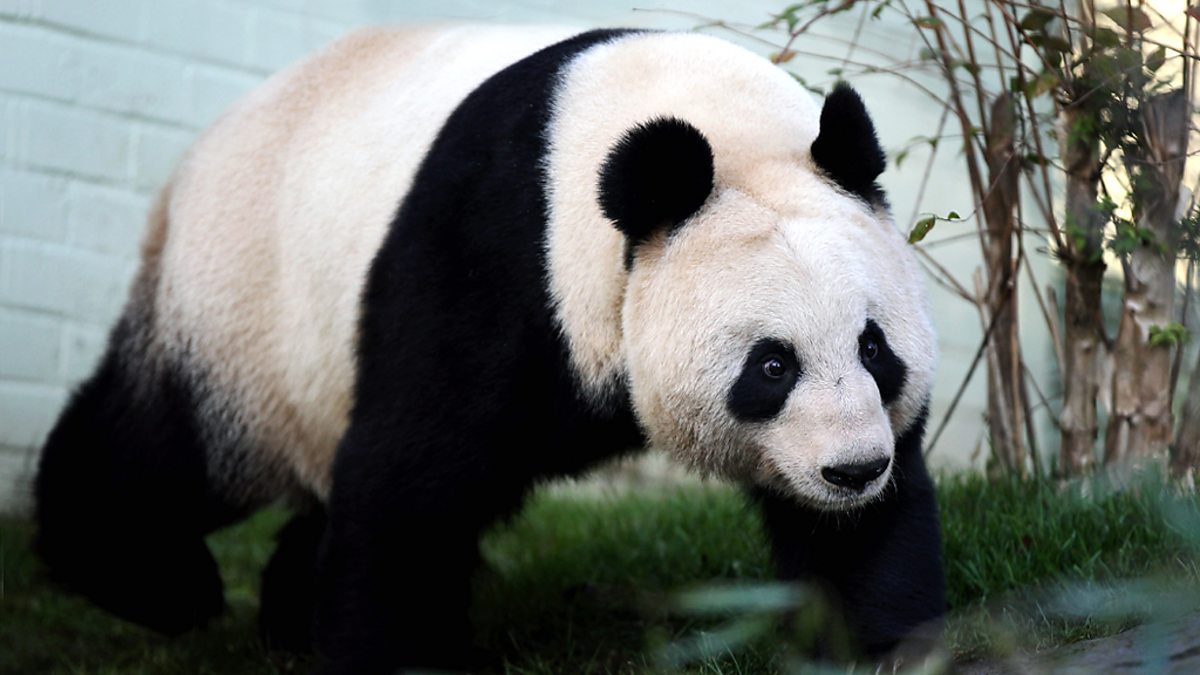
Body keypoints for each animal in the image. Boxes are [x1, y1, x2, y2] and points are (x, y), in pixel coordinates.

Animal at [33, 25, 944, 673]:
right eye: (771, 365)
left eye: (874, 348)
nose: (853, 469)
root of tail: (194, 159)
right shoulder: (495, 256)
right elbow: (411, 476)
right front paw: (401, 659)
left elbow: (860, 536)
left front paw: (878, 643)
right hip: (245, 308)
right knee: (168, 448)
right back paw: (160, 584)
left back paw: (287, 616)